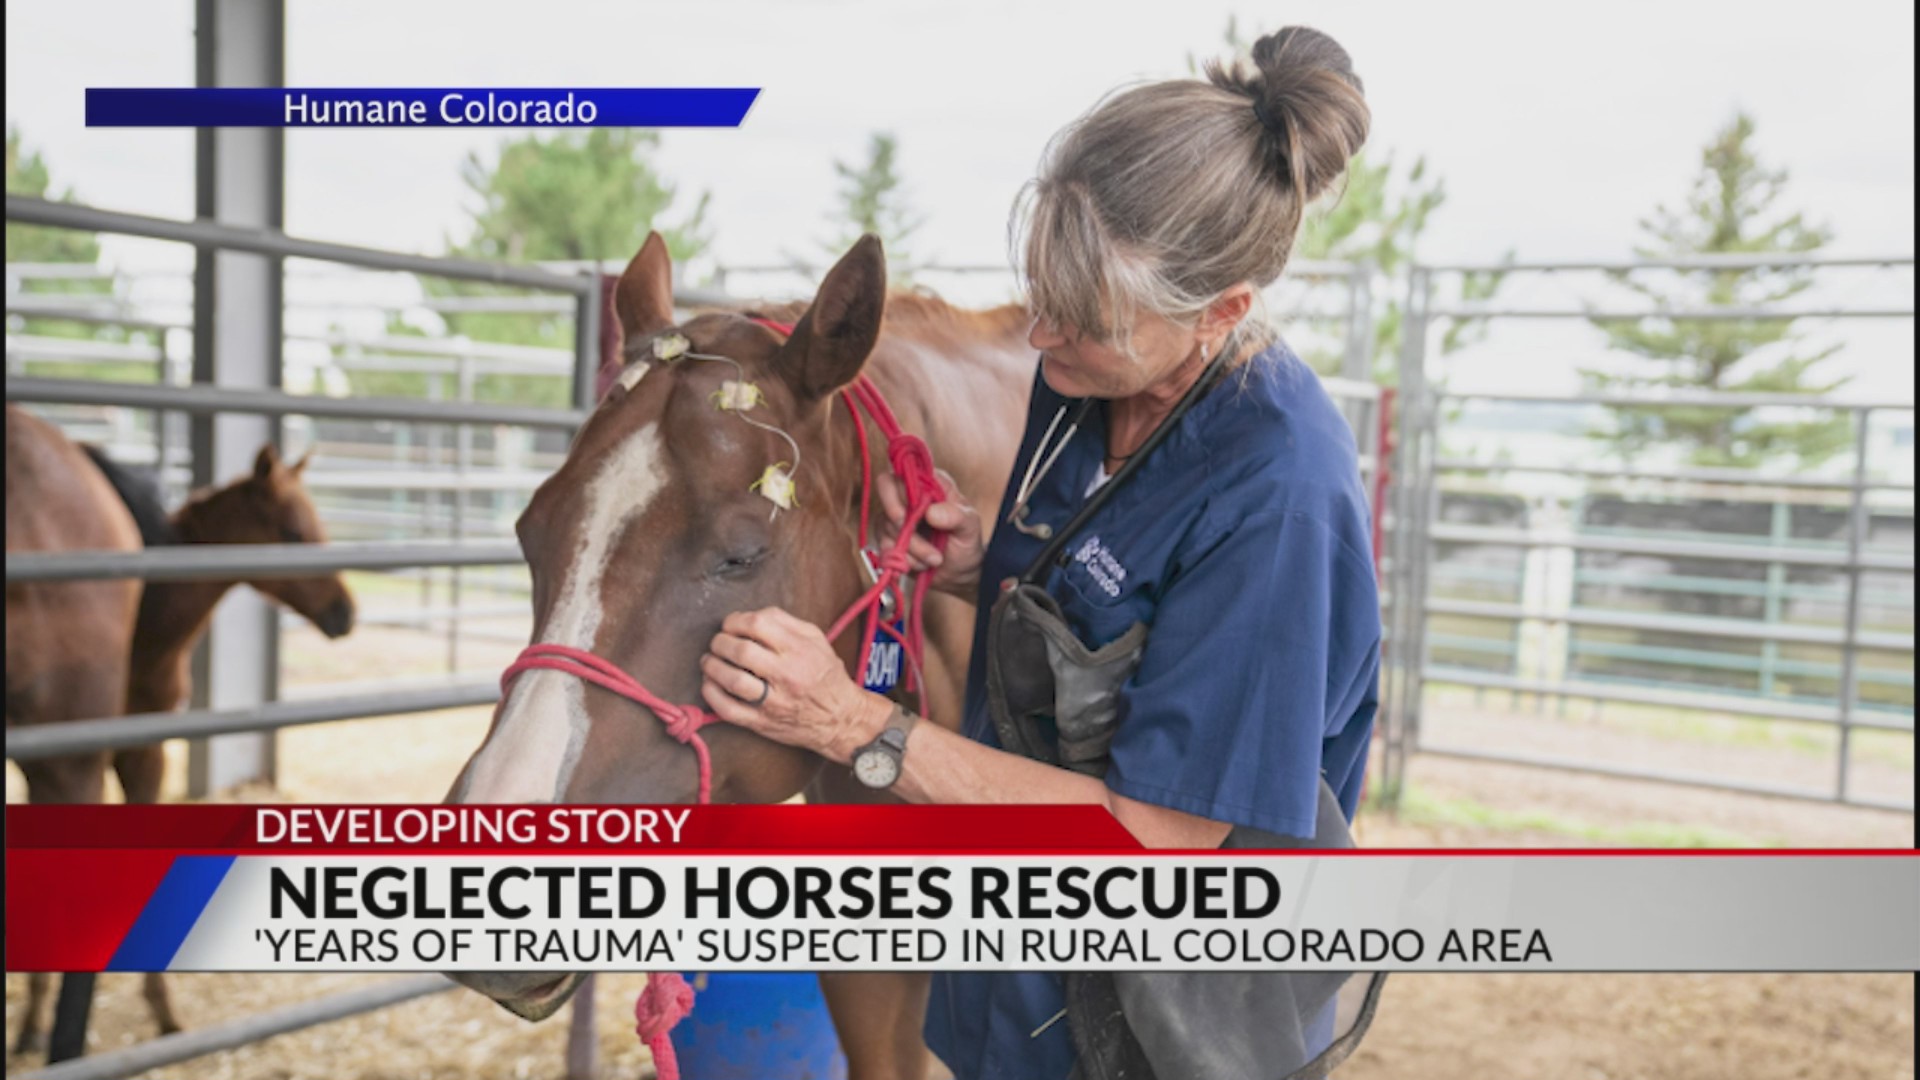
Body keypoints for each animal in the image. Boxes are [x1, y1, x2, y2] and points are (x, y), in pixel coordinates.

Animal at [5, 413, 355, 1054]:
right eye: (292, 530)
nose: (345, 613)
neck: (151, 621)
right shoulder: (132, 755)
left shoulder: (66, 762)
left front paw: (35, 1022)